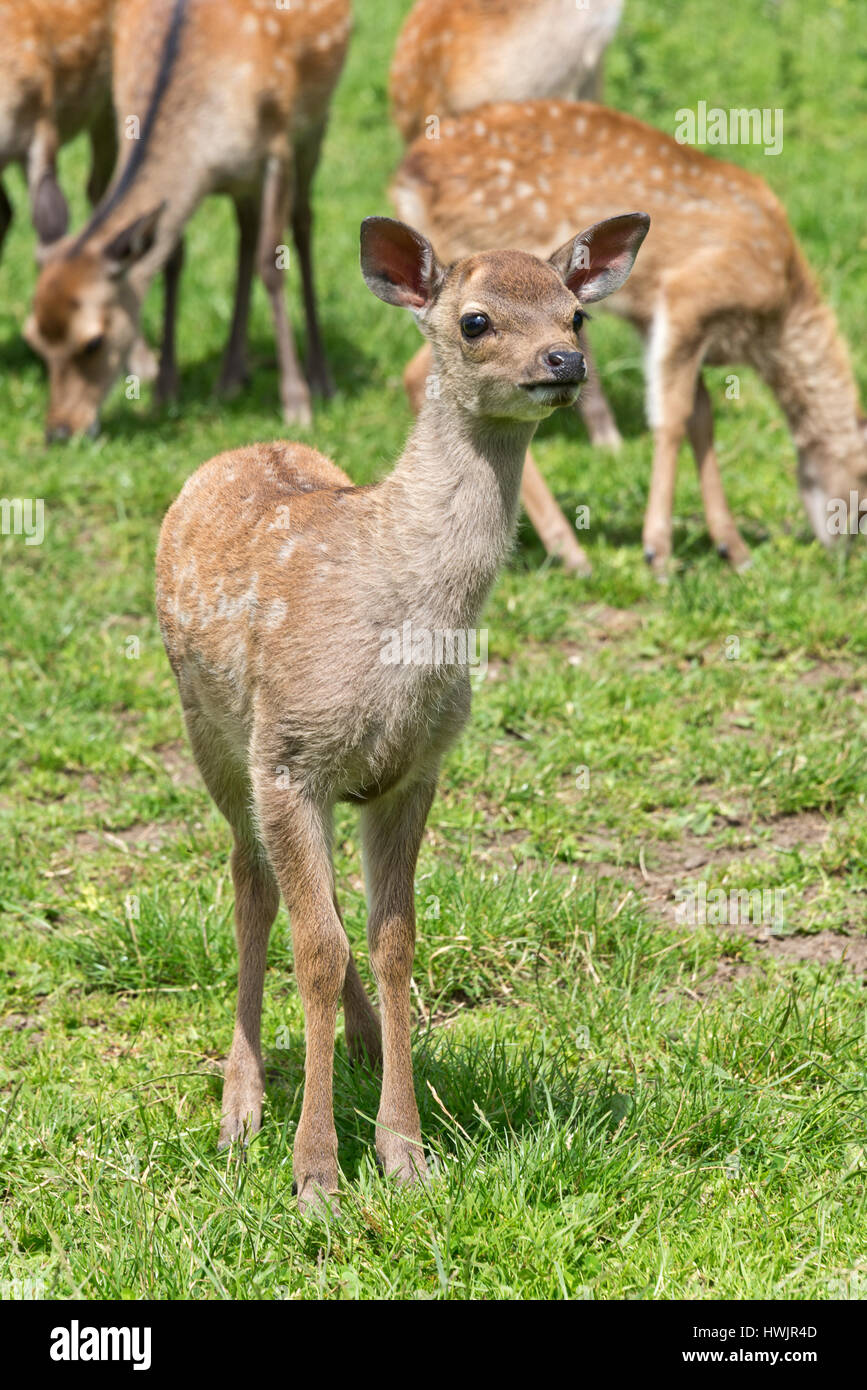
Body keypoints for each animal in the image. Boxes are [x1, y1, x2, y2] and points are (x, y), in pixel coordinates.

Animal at [23, 0, 351, 441]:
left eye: (94, 342)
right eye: (35, 340)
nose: (59, 430)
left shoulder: (277, 147)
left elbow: (272, 267)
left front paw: (297, 405)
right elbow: (172, 261)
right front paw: (165, 387)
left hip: (315, 124)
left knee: (302, 223)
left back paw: (321, 377)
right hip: (245, 180)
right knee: (246, 233)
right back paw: (231, 374)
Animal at [155, 210, 649, 1212]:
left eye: (576, 312)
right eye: (474, 320)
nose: (563, 363)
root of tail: (226, 453)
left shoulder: (415, 769)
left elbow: (390, 942)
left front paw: (405, 1152)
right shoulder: (289, 755)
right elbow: (314, 949)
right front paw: (314, 1174)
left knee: (319, 908)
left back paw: (361, 1045)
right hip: (215, 734)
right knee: (251, 882)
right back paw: (240, 1106)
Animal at [392, 101, 867, 574]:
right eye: (864, 476)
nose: (845, 550)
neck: (776, 309)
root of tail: (407, 176)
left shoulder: (657, 322)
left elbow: (701, 415)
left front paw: (733, 548)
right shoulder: (689, 296)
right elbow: (672, 417)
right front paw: (658, 551)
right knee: (421, 372)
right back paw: (570, 552)